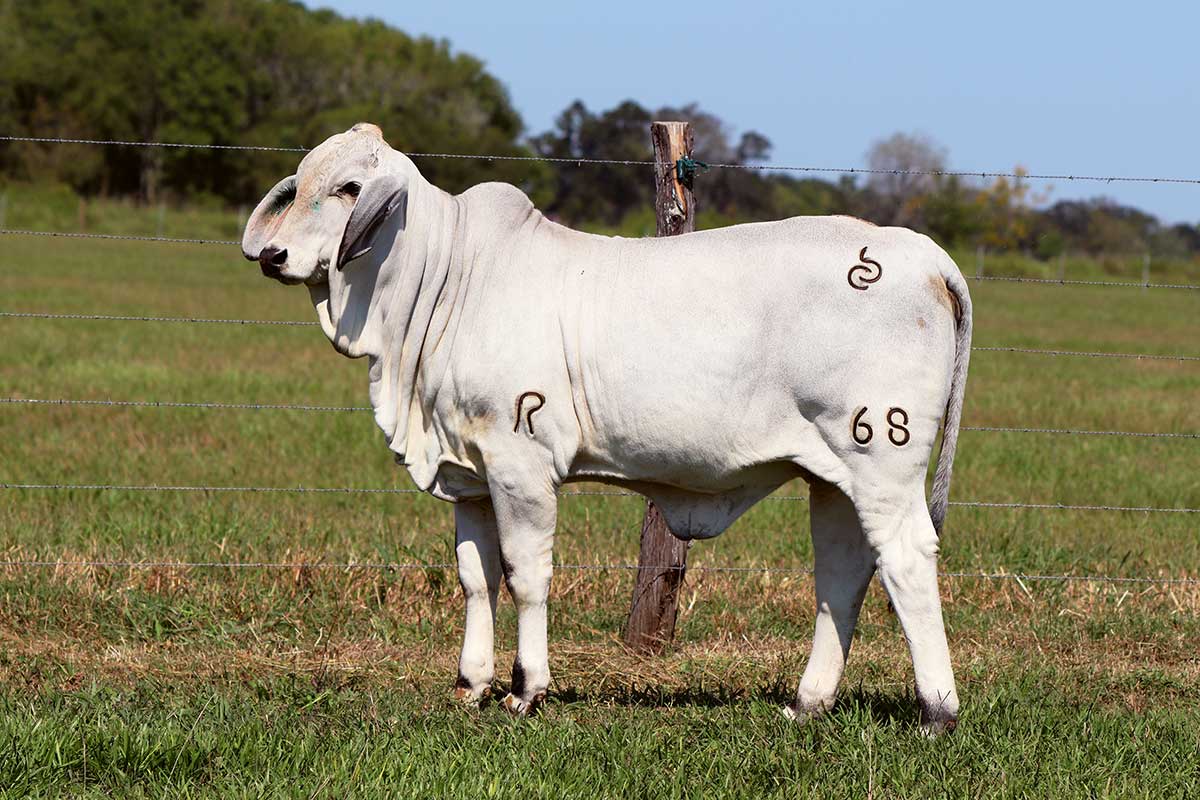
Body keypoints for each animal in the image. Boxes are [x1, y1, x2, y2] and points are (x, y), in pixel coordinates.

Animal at [241, 123, 972, 734]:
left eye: (348, 187)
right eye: (299, 181)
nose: (272, 255)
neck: (445, 284)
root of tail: (923, 255)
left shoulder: (521, 463)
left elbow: (526, 575)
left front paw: (525, 689)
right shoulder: (470, 475)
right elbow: (476, 577)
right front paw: (470, 684)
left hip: (881, 456)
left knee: (907, 561)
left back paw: (936, 712)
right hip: (833, 476)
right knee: (843, 573)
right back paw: (807, 703)